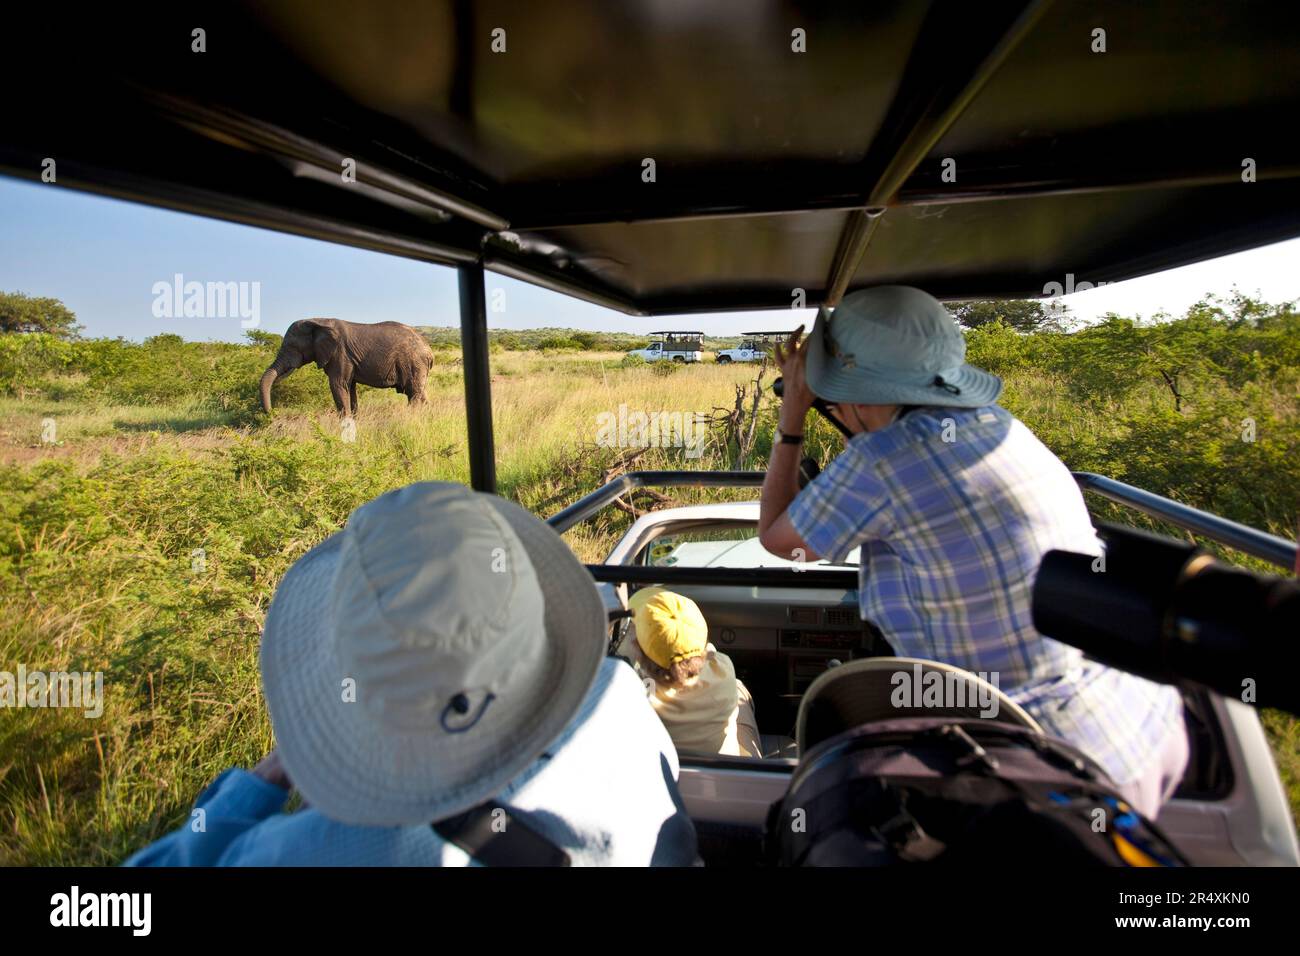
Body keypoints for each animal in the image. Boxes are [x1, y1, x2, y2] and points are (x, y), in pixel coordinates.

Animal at [259, 318, 434, 416]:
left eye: (292, 347)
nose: (273, 414)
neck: (317, 322)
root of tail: (429, 350)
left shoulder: (340, 354)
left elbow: (338, 385)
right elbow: (349, 388)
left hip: (413, 362)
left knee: (413, 393)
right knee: (420, 392)